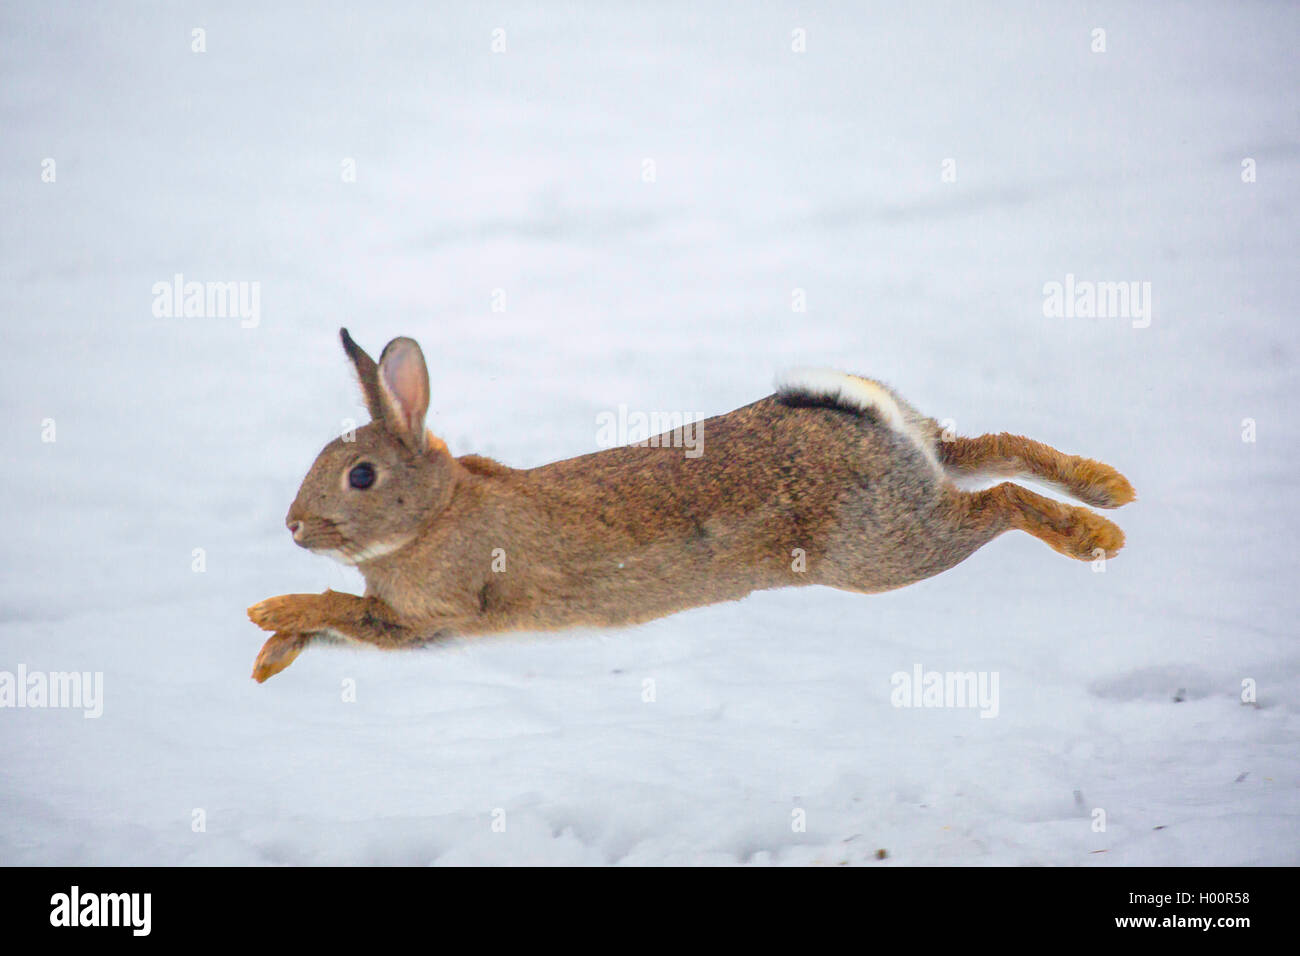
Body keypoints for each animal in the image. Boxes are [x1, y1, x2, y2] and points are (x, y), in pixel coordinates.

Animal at [247, 329, 1135, 681]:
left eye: (360, 476)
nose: (293, 527)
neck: (432, 514)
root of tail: (854, 412)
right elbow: (338, 624)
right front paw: (271, 657)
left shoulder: (435, 616)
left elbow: (339, 609)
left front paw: (268, 616)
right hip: (919, 477)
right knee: (989, 450)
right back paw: (1108, 489)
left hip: (886, 550)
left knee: (1001, 502)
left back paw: (1094, 536)